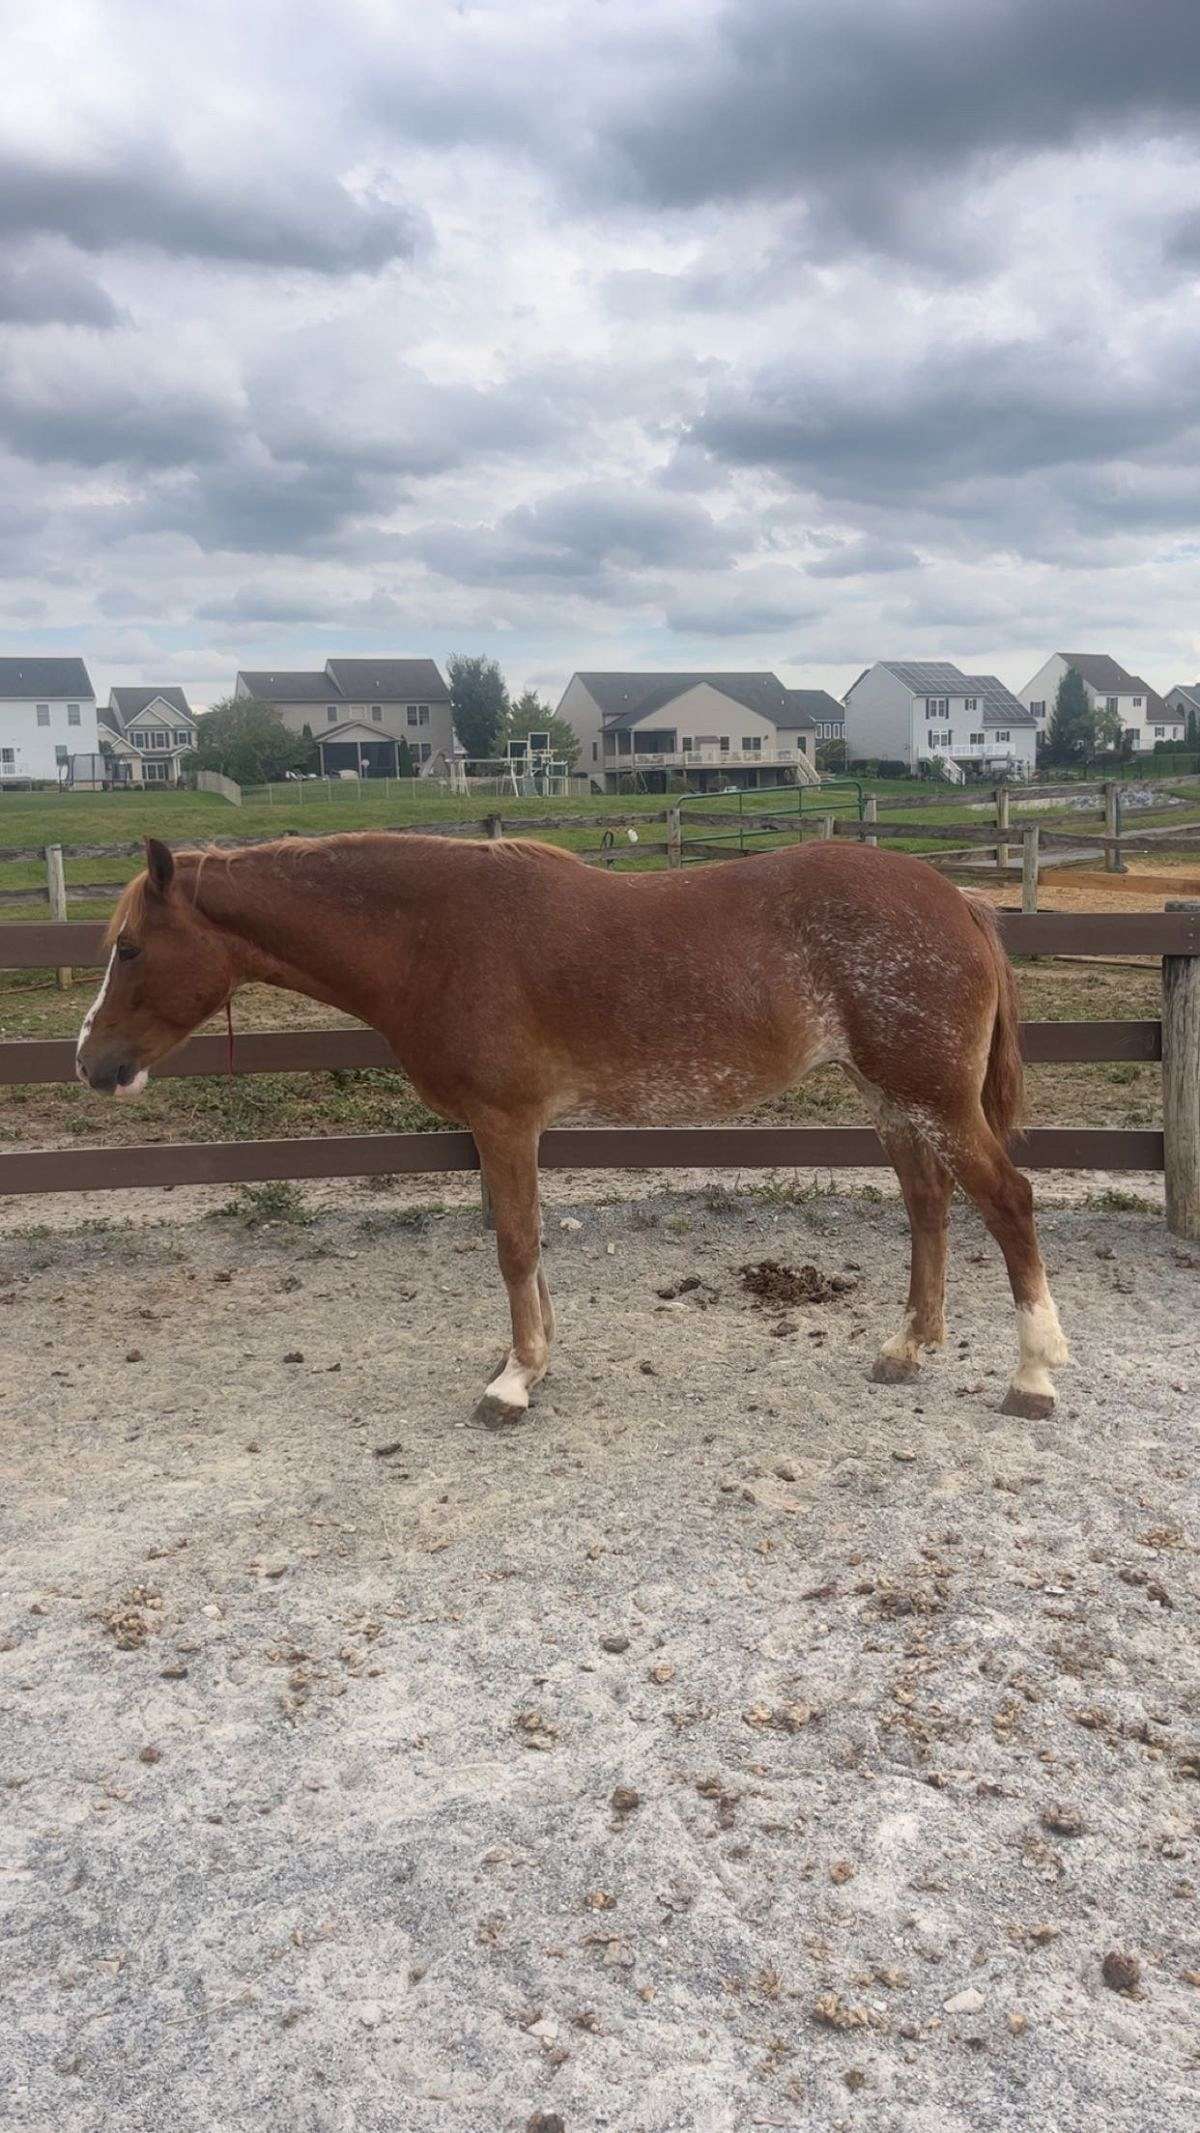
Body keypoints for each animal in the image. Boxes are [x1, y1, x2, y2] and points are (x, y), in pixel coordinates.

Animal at [75, 831, 1069, 1425]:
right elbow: (526, 1241)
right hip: (892, 1099)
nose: (92, 1062)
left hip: (933, 1099)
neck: (435, 937)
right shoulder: (504, 1131)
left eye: (129, 947)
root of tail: (956, 900)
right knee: (929, 1204)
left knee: (1008, 1200)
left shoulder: (506, 1122)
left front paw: (514, 1381)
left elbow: (515, 1241)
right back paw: (908, 1347)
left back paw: (1032, 1374)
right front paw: (533, 1356)